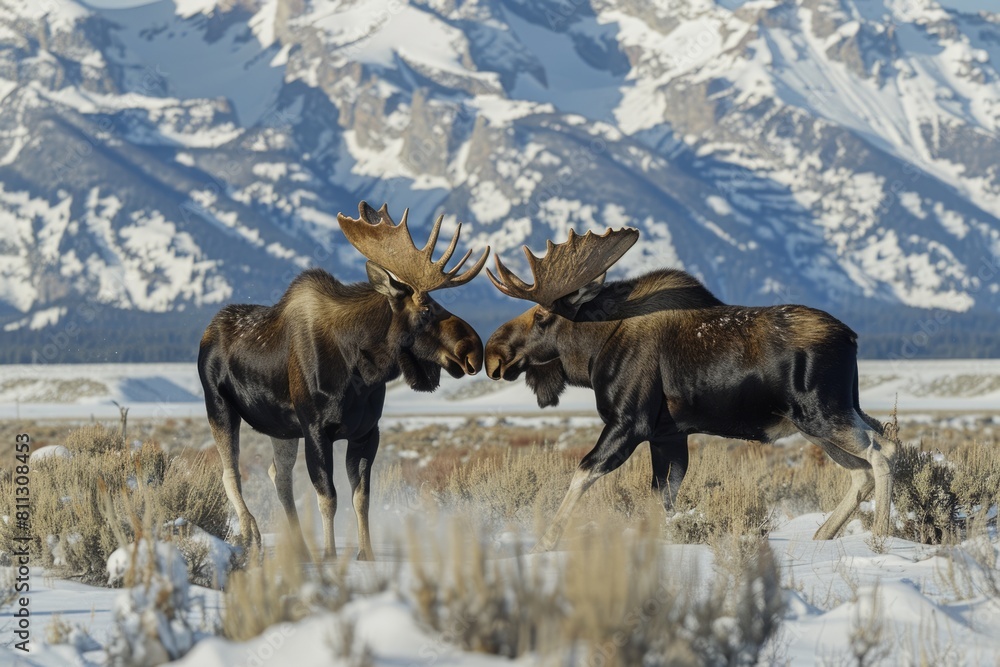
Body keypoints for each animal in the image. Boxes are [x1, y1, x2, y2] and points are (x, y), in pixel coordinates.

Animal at [198, 202, 488, 560]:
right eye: (426, 309)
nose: (474, 349)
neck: (360, 372)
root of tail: (207, 332)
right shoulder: (315, 430)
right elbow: (328, 497)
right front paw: (330, 554)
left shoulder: (367, 432)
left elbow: (361, 497)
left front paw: (366, 554)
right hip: (219, 407)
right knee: (231, 473)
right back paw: (252, 534)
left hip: (282, 429)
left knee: (278, 476)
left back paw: (299, 547)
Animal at [483, 227, 896, 552]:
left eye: (542, 316)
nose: (493, 354)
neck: (593, 351)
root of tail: (852, 338)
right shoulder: (667, 434)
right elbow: (663, 496)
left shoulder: (628, 423)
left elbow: (583, 473)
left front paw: (545, 542)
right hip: (815, 421)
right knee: (861, 469)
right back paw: (823, 535)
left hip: (822, 412)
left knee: (883, 450)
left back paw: (879, 535)